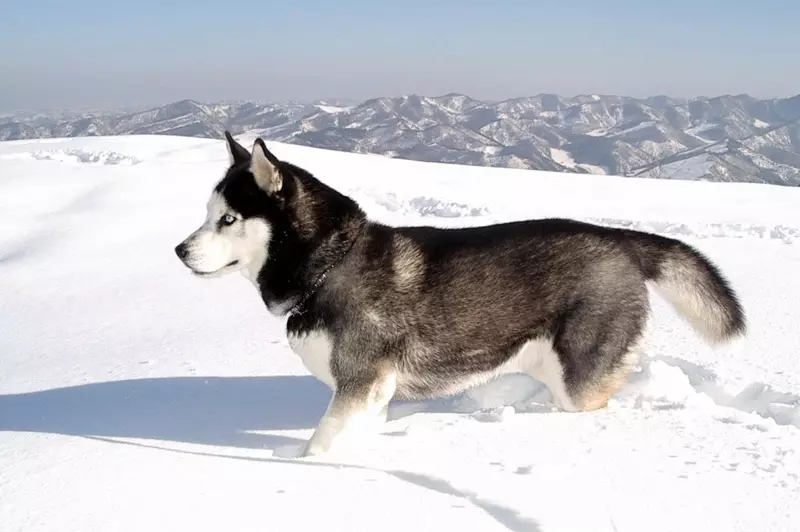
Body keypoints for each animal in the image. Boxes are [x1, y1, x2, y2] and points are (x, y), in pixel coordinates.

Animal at [175, 133, 744, 458]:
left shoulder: (360, 384)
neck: (329, 266)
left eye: (229, 219)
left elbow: (319, 446)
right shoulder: (373, 397)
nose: (179, 250)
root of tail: (619, 239)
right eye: (207, 214)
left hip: (579, 375)